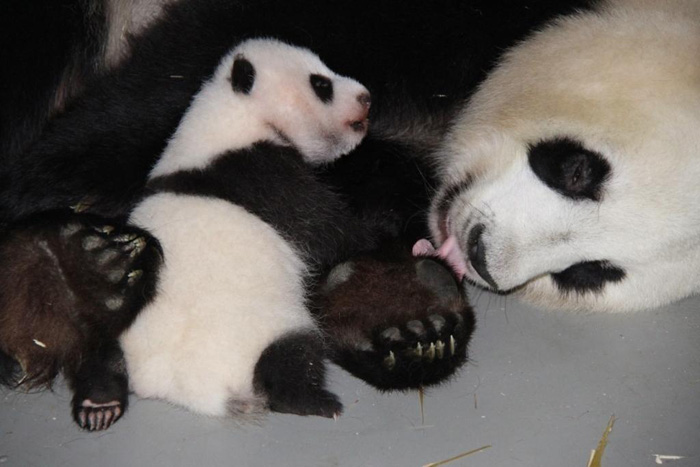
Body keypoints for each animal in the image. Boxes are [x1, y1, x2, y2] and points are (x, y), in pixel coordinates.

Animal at [120, 37, 371, 421]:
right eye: (321, 84)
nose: (365, 97)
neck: (235, 114)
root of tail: (200, 392)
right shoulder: (260, 171)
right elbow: (328, 231)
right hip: (264, 325)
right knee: (294, 353)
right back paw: (317, 400)